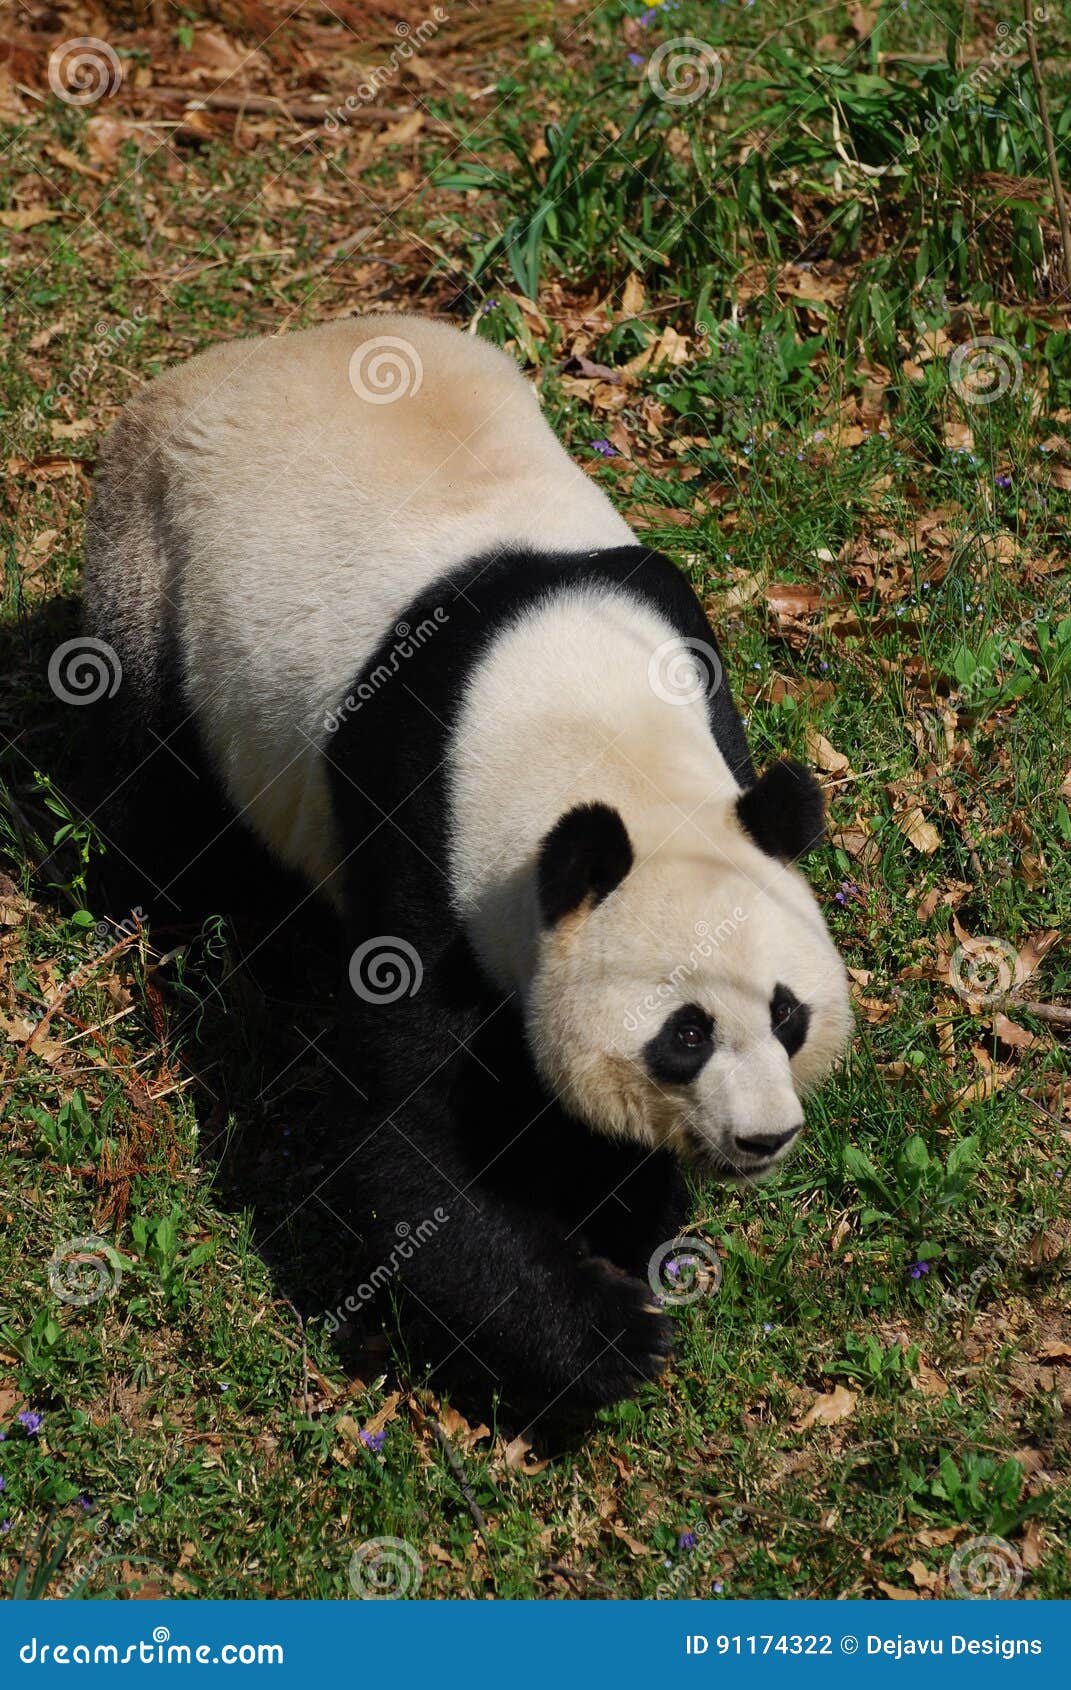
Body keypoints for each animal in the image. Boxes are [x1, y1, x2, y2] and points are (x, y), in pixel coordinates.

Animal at [83, 314, 853, 1429]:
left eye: (788, 1013)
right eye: (687, 1034)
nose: (764, 1138)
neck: (587, 723)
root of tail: (230, 352)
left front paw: (628, 1208)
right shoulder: (417, 816)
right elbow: (412, 1133)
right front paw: (604, 1337)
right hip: (151, 564)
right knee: (155, 769)